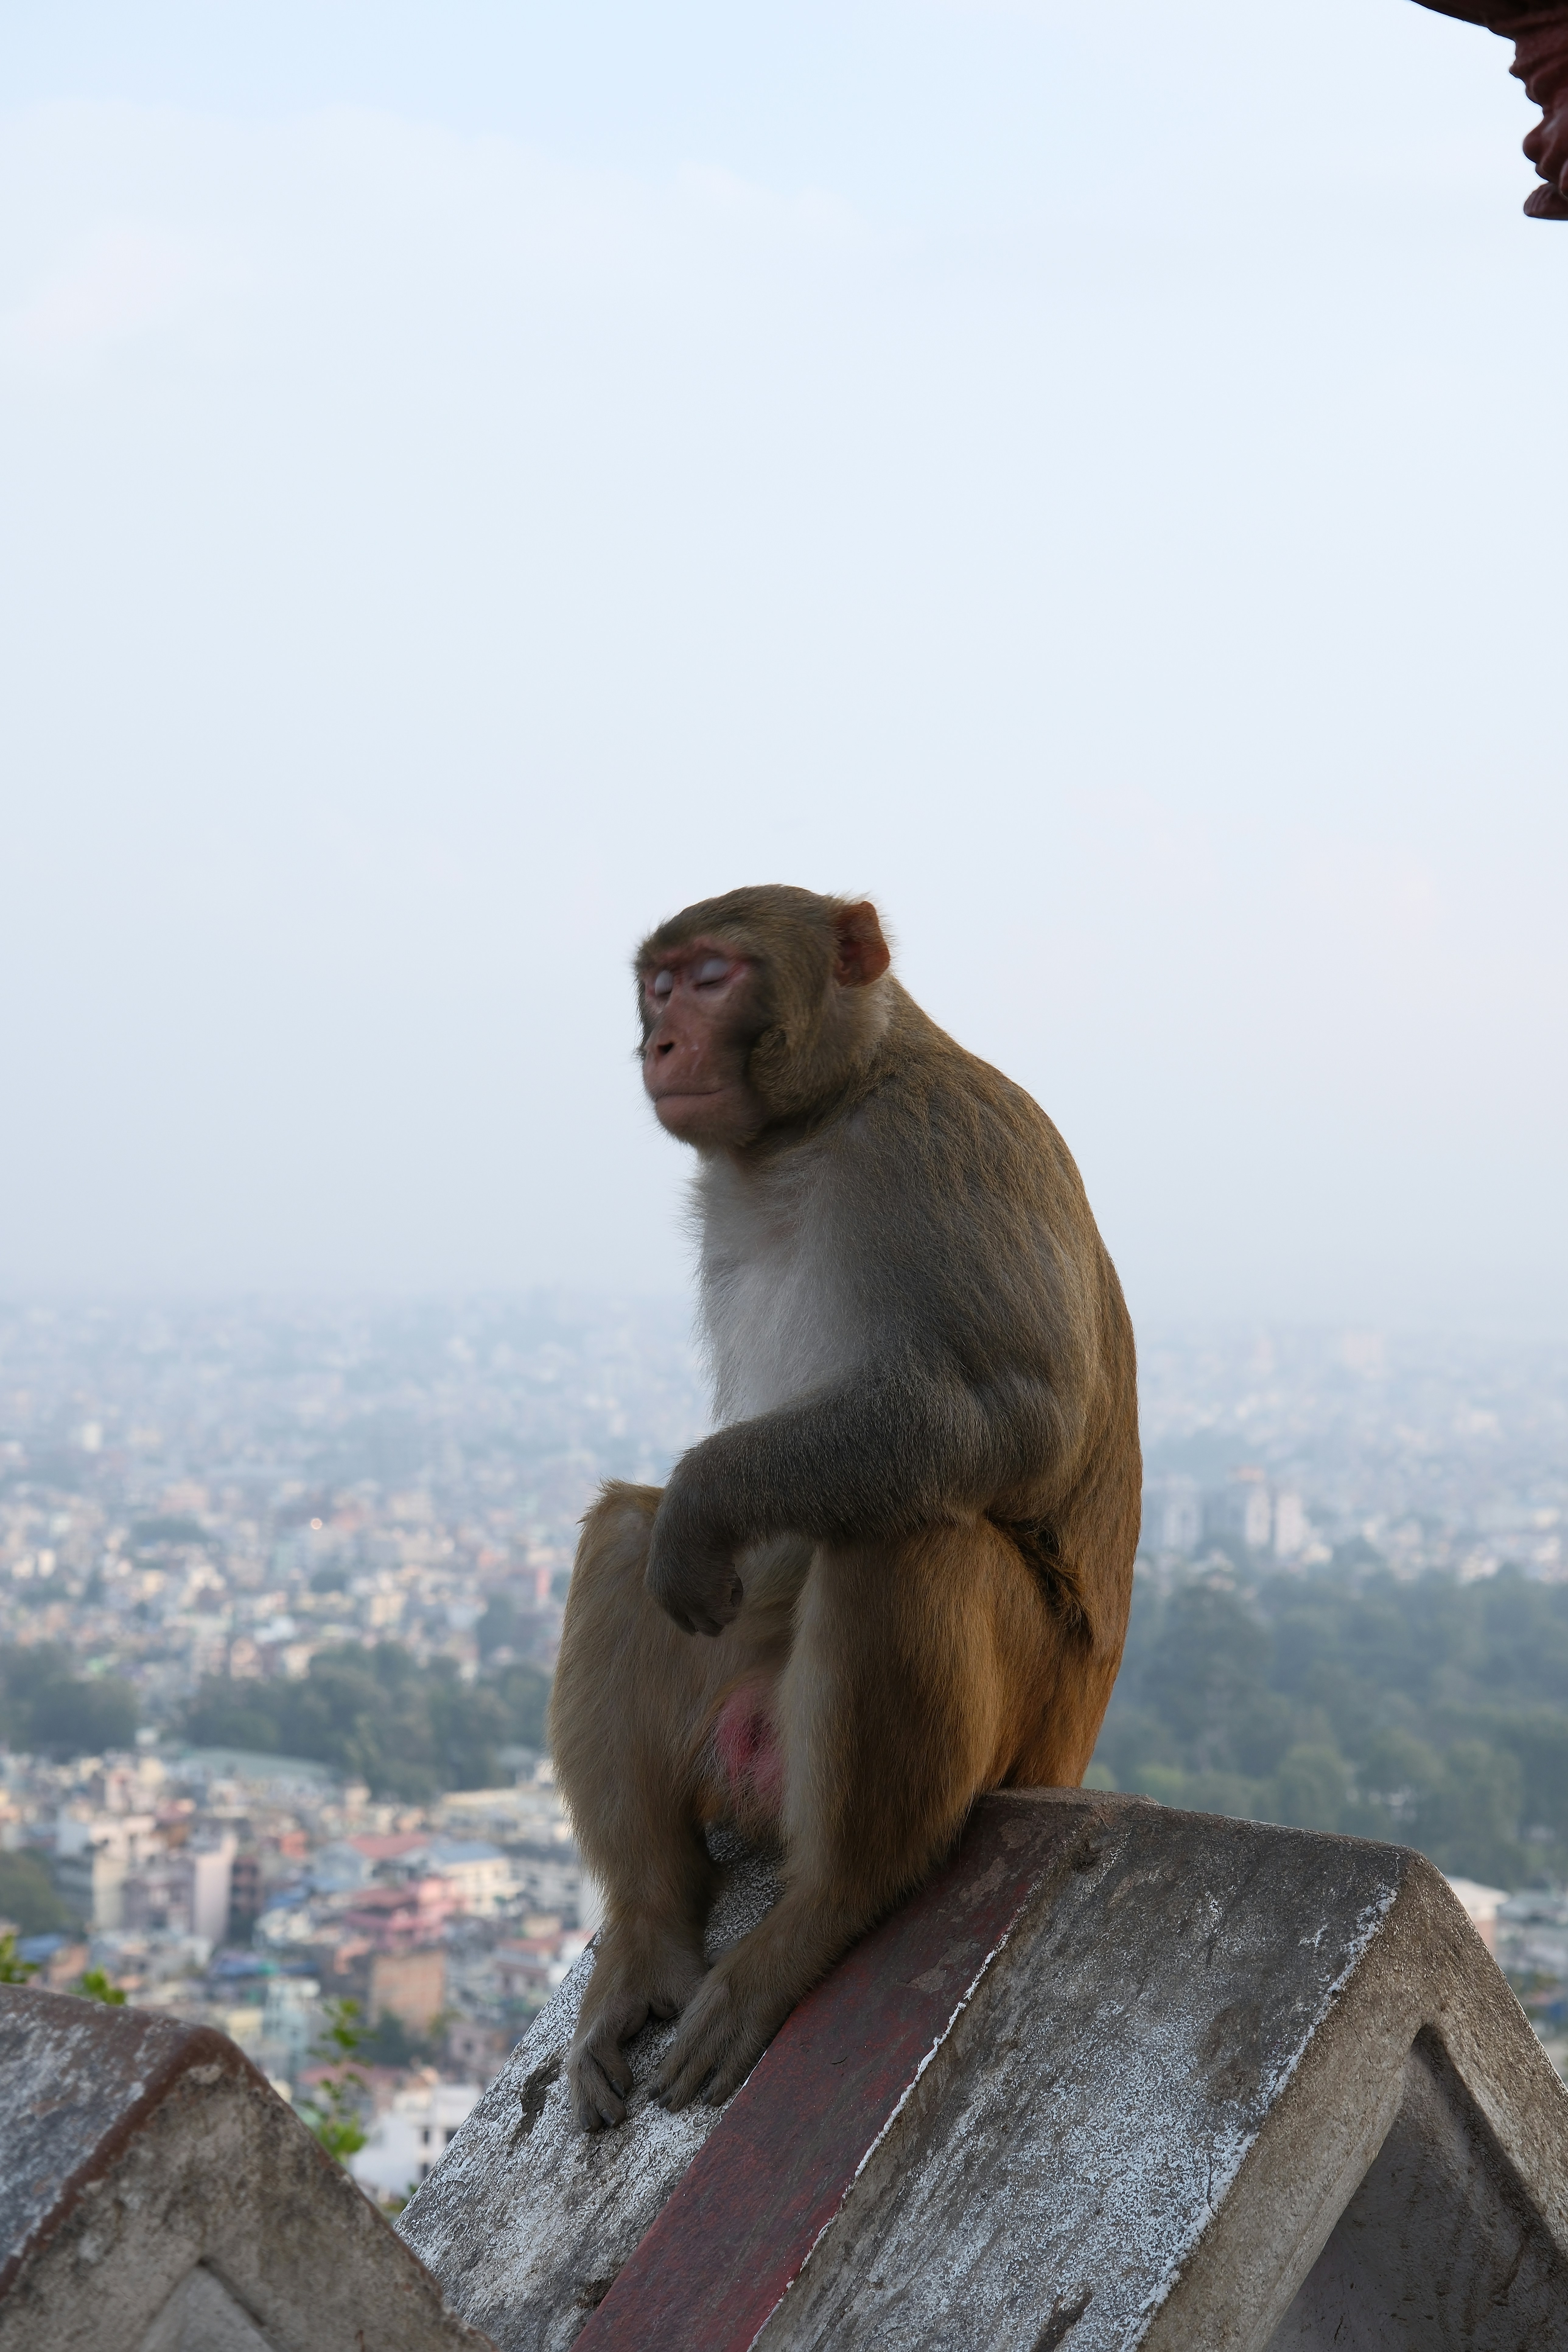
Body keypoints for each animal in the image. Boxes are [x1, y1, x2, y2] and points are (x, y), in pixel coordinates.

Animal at [549, 885, 1140, 2131]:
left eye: (712, 976)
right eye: (658, 984)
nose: (656, 1042)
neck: (816, 1121)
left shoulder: (945, 1146)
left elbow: (1008, 1411)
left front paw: (707, 1492)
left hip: (1017, 1722)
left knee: (903, 1536)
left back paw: (825, 1908)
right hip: (730, 1710)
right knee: (625, 1540)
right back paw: (650, 1931)